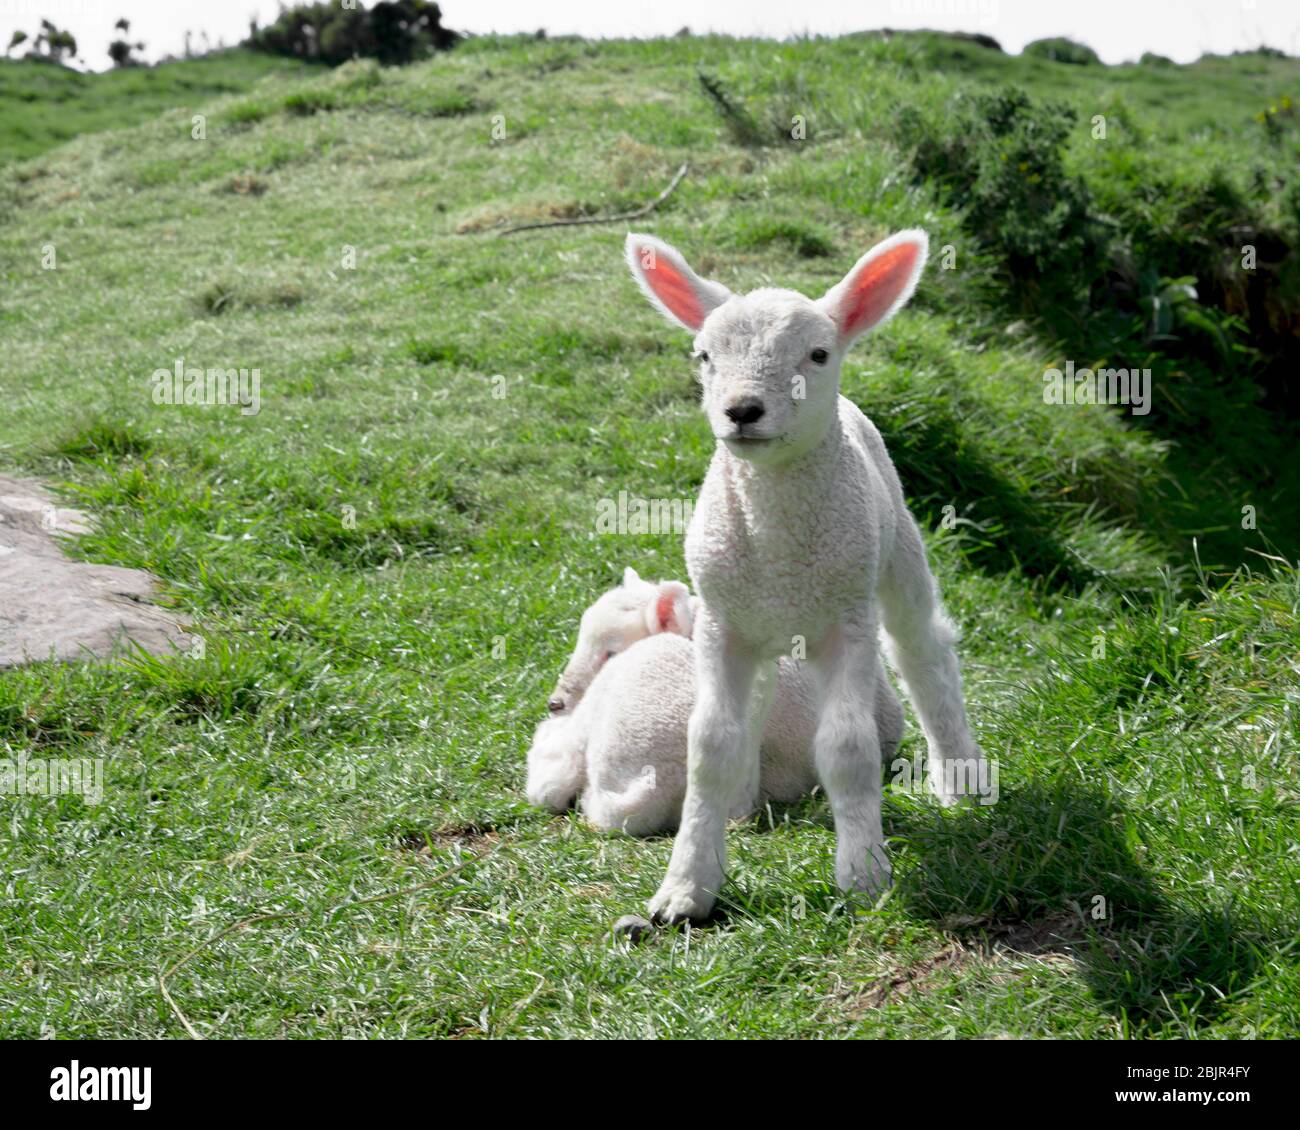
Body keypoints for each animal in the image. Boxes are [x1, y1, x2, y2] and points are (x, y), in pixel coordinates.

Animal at [624, 228, 984, 922]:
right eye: (704, 356)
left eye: (817, 353)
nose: (742, 410)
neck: (779, 547)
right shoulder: (721, 622)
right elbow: (710, 743)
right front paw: (685, 888)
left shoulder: (847, 621)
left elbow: (847, 747)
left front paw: (864, 874)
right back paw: (741, 806)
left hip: (895, 554)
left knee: (923, 653)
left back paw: (962, 781)